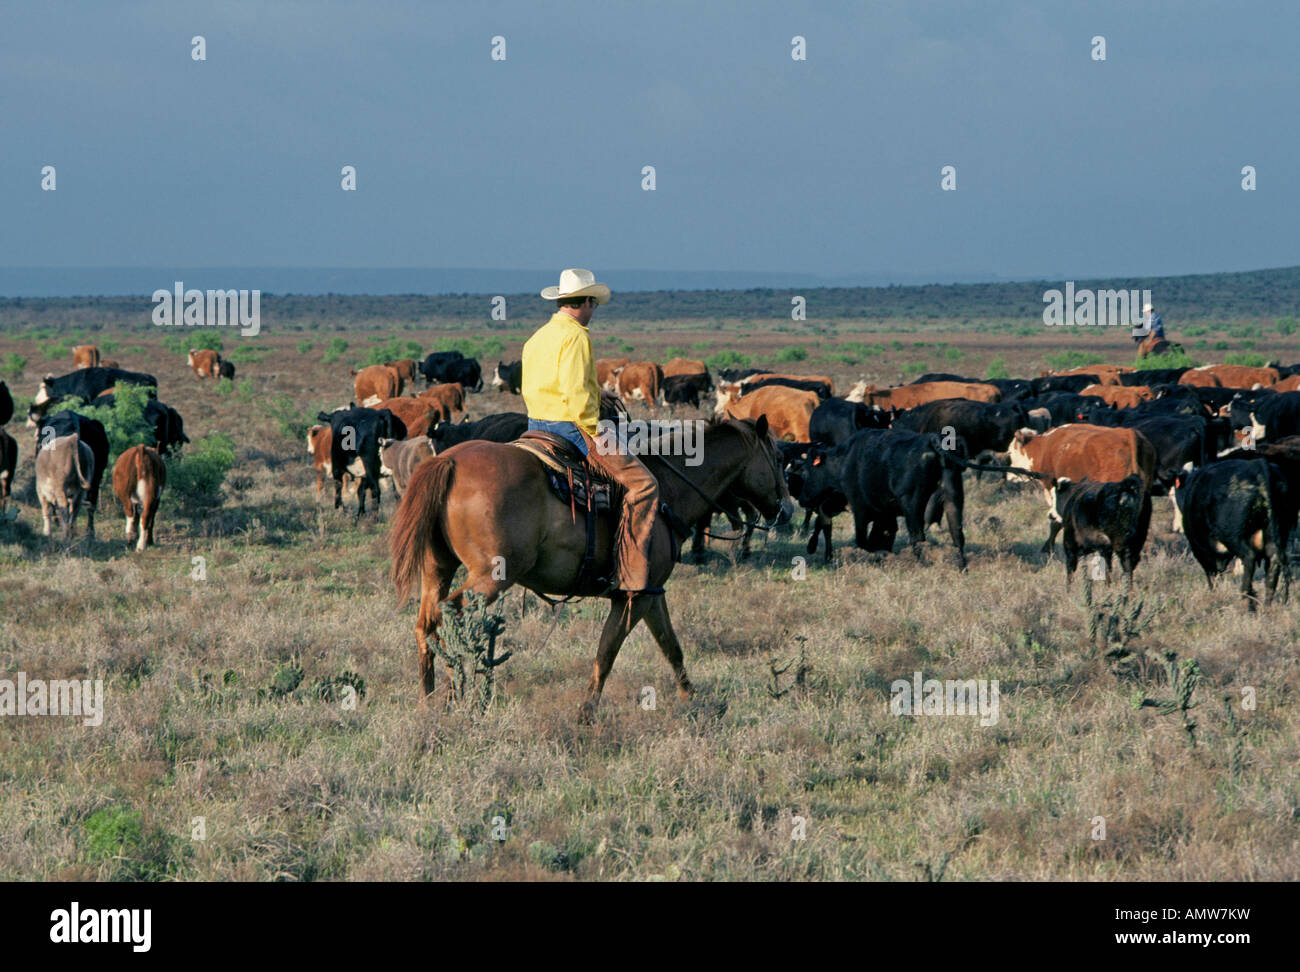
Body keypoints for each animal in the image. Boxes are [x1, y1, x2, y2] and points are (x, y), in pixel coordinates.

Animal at [1172, 459, 1290, 608]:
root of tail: (1259, 465)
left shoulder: (1199, 547)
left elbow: (1212, 573)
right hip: (1277, 534)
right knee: (1272, 563)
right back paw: (1266, 606)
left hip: (1233, 538)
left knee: (1249, 557)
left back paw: (1247, 600)